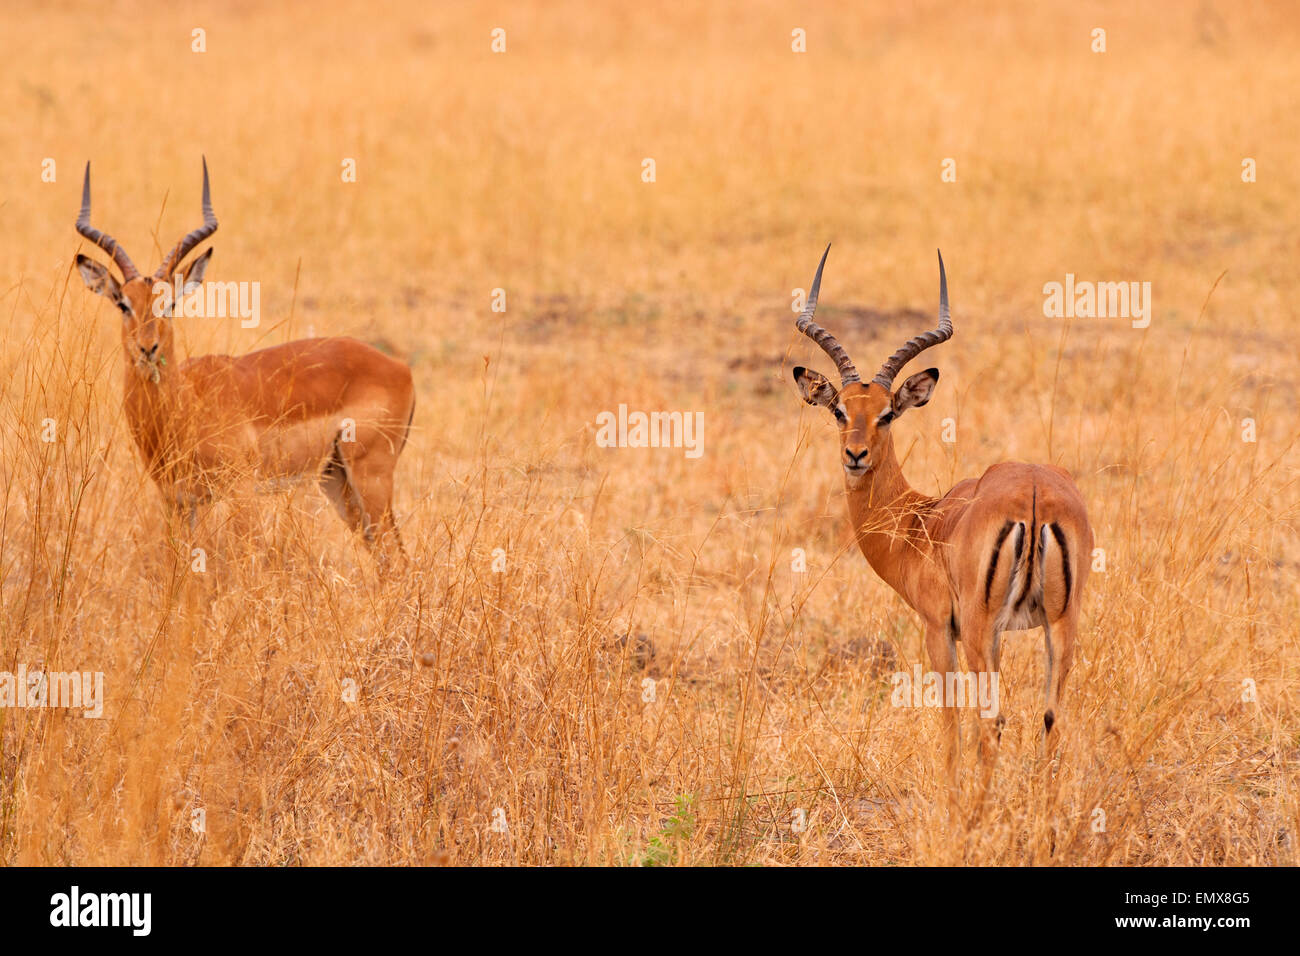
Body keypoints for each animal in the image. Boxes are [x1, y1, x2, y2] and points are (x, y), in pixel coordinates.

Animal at [74, 159, 415, 563]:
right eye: (123, 304)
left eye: (170, 303)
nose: (148, 349)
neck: (185, 403)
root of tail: (400, 368)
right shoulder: (179, 502)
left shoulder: (241, 492)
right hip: (335, 479)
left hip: (369, 475)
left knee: (398, 556)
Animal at [791, 245, 1092, 799]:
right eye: (840, 410)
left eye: (888, 414)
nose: (855, 455)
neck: (918, 521)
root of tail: (1036, 495)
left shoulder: (938, 627)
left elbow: (950, 718)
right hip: (1061, 623)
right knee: (1052, 716)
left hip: (978, 626)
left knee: (992, 720)